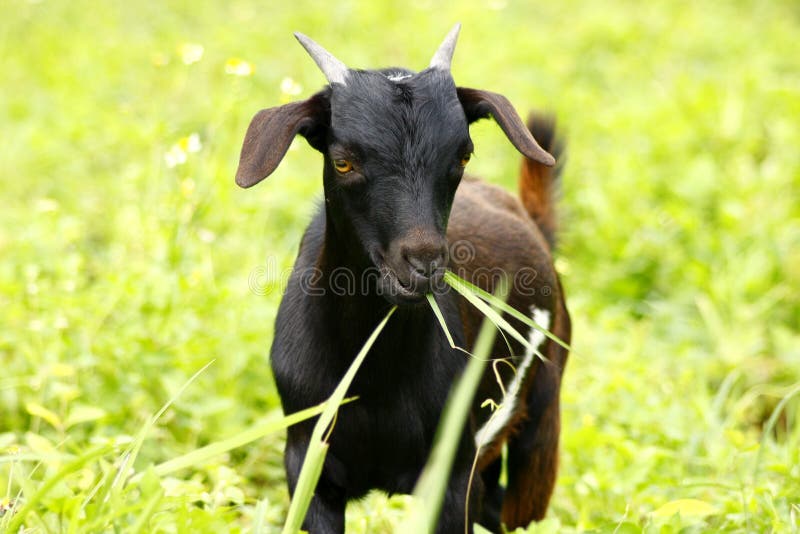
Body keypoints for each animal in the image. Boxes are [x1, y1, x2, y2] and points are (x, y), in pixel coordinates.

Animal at [235, 24, 570, 533]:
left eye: (463, 156)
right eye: (344, 161)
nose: (423, 262)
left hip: (539, 425)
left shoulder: (452, 475)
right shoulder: (309, 468)